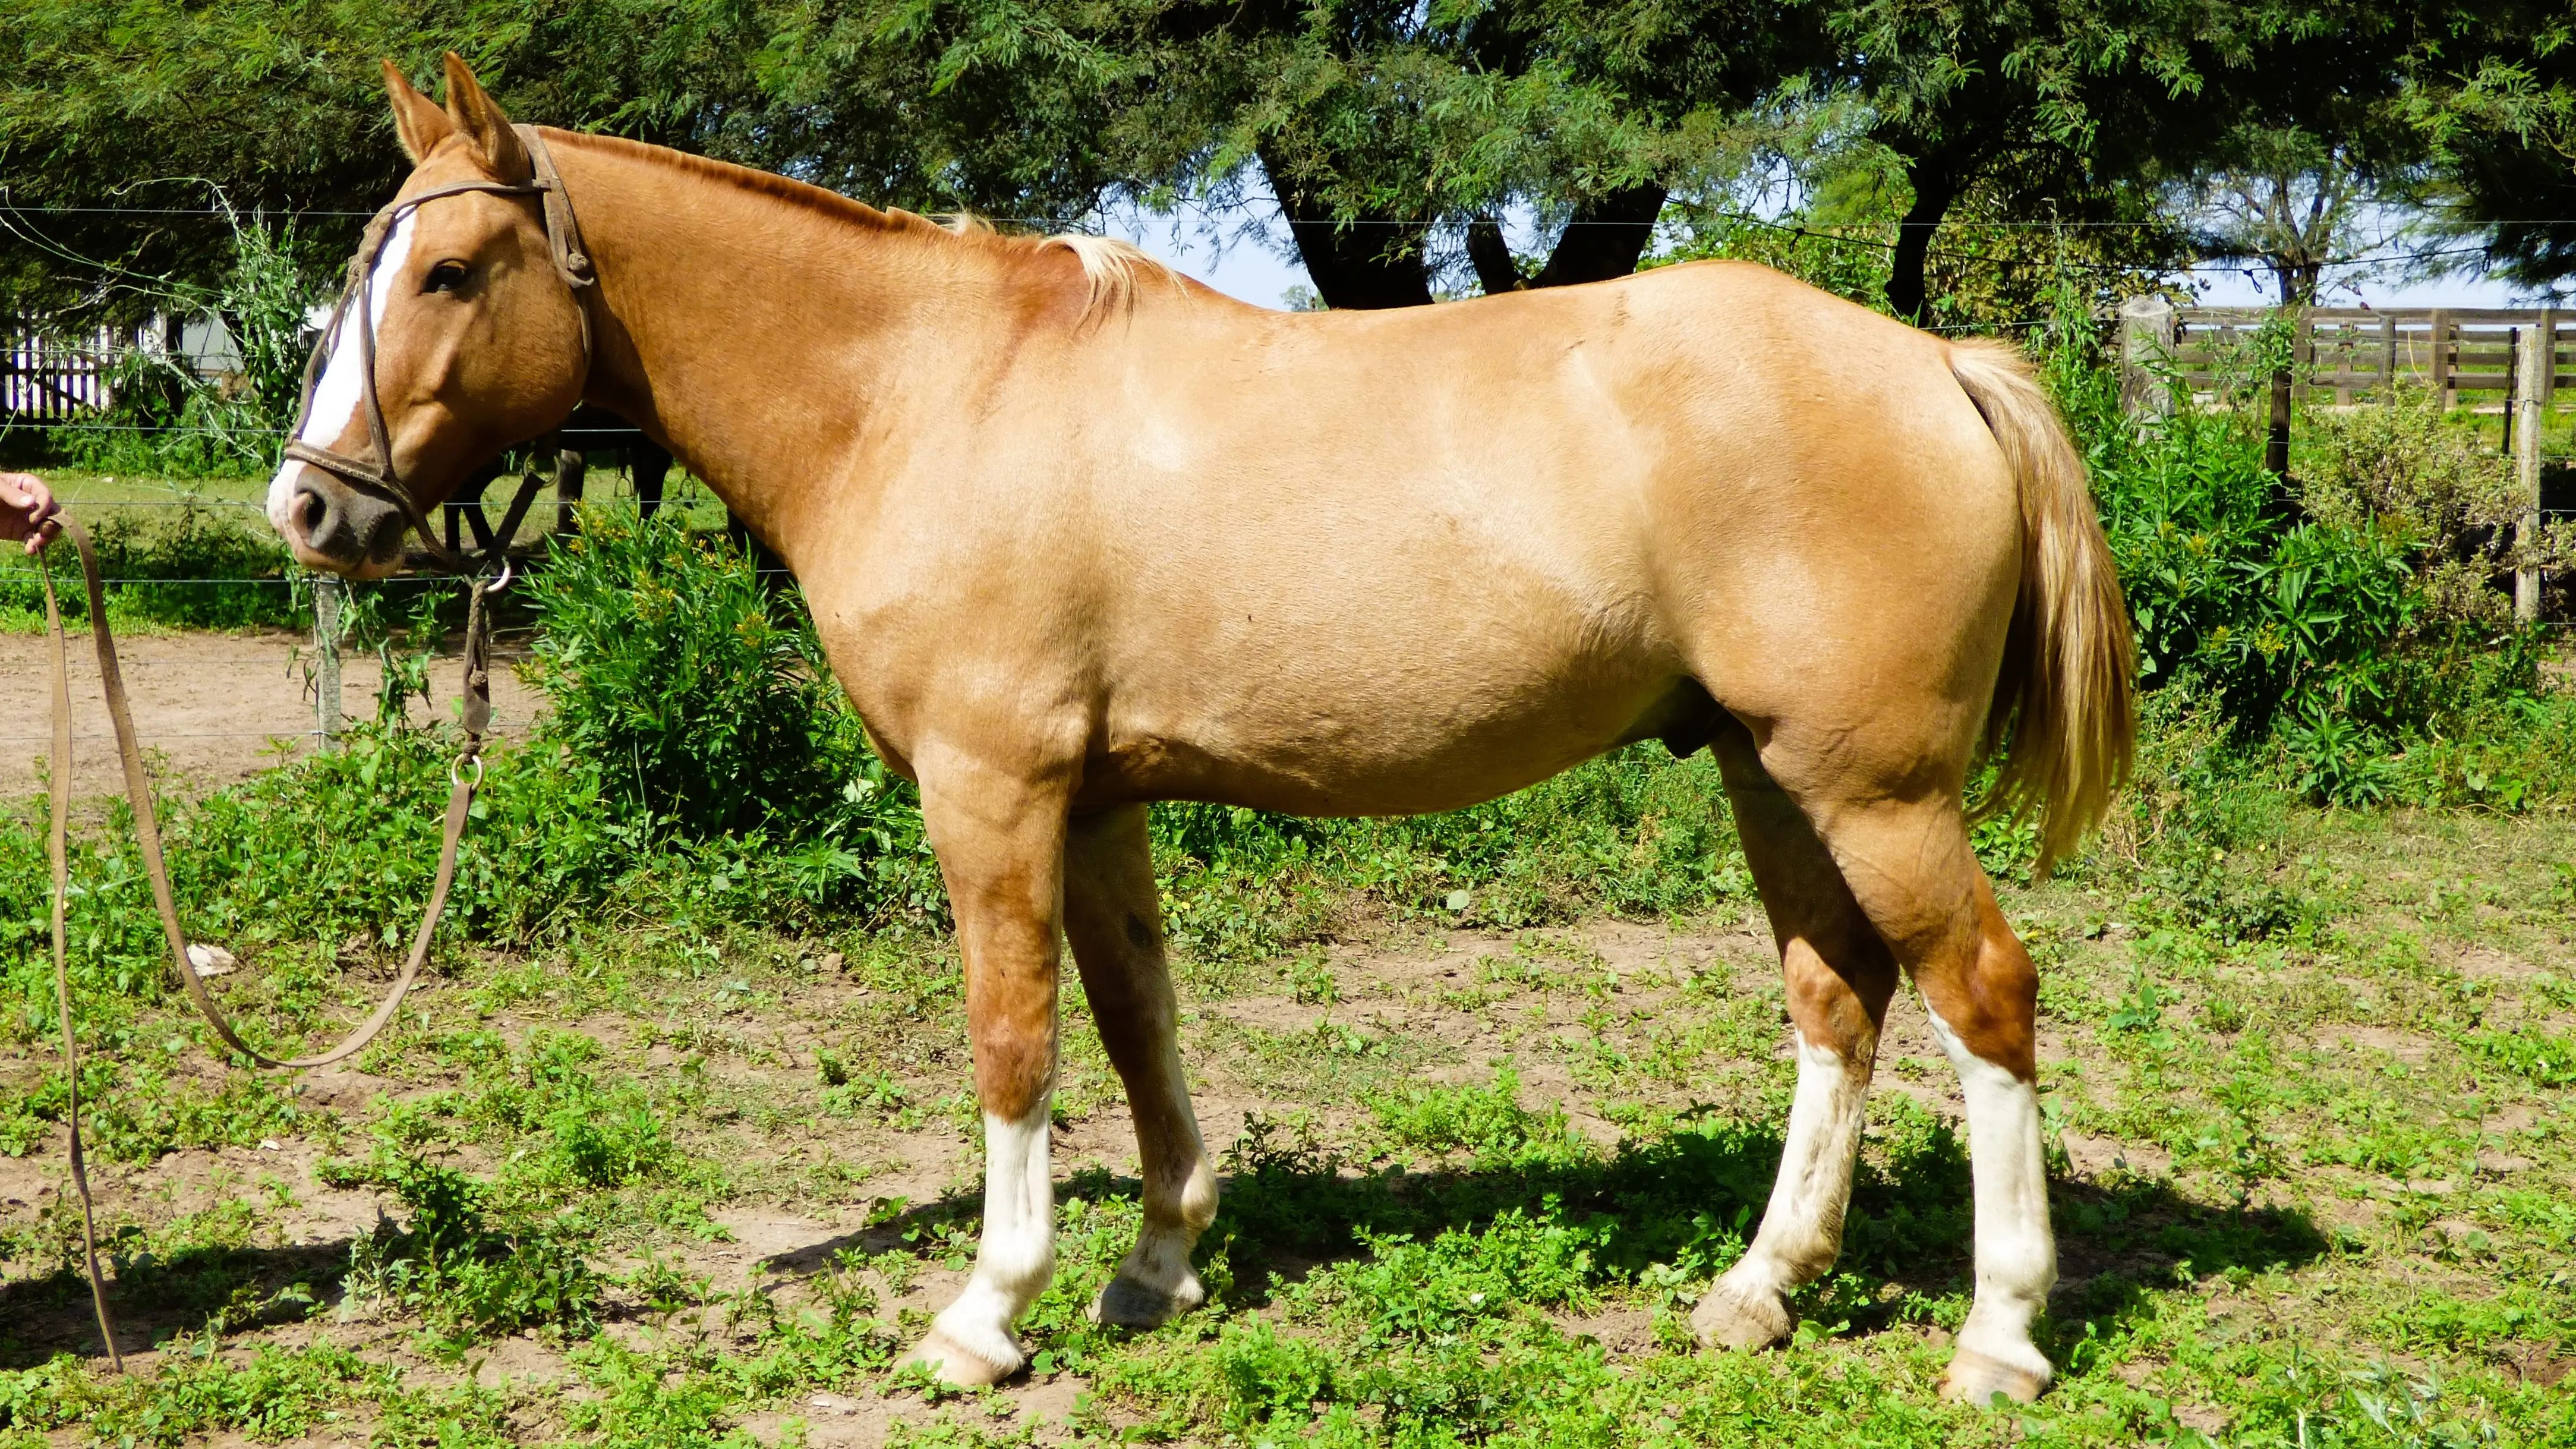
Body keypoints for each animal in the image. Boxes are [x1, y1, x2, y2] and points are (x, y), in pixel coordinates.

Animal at [269, 54, 2134, 1405]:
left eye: (451, 269)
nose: (308, 505)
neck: (921, 392)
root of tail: (1936, 365)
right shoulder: (1098, 799)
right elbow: (1133, 1021)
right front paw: (1153, 1264)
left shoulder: (992, 793)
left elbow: (1013, 1039)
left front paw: (984, 1312)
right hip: (1768, 772)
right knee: (1839, 1003)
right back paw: (1754, 1291)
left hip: (1871, 786)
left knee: (1982, 997)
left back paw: (1996, 1336)